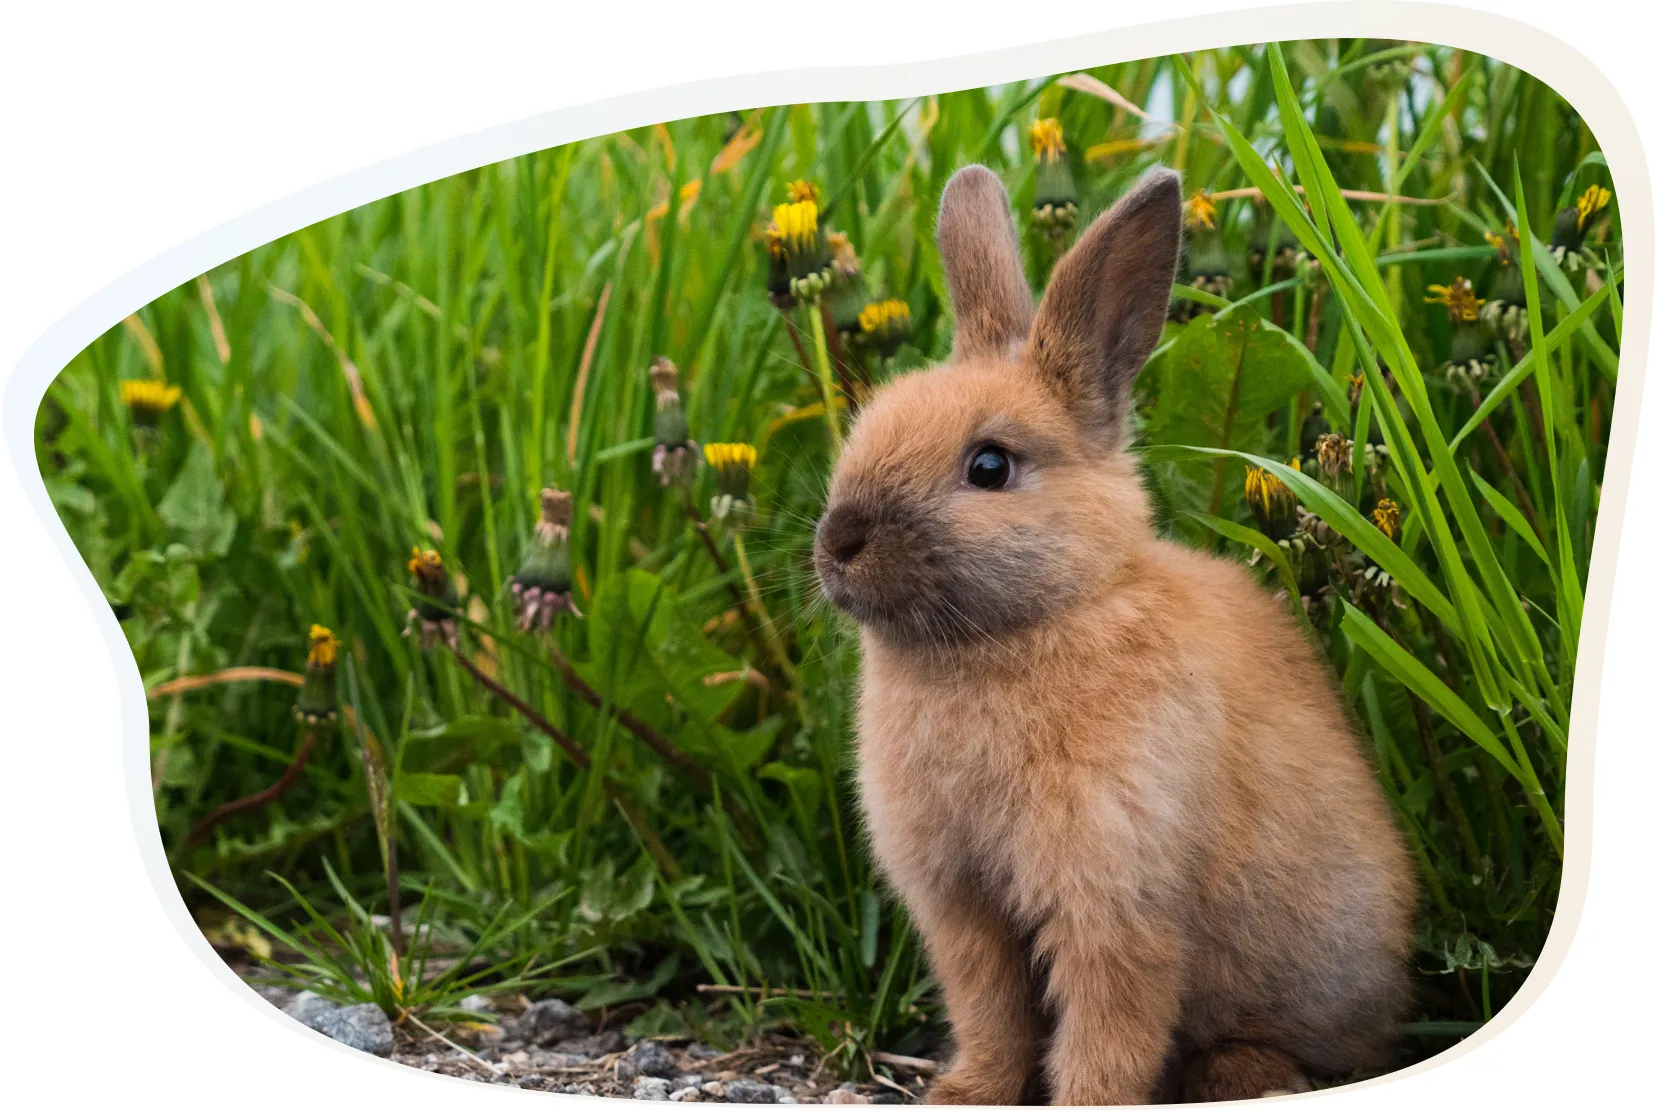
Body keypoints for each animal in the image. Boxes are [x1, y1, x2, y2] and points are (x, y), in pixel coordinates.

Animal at [812, 164, 1417, 1105]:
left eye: (990, 466)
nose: (837, 542)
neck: (1033, 623)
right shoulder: (963, 908)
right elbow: (990, 1011)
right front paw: (968, 1090)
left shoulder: (1118, 899)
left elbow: (1109, 1027)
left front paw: (1083, 1100)